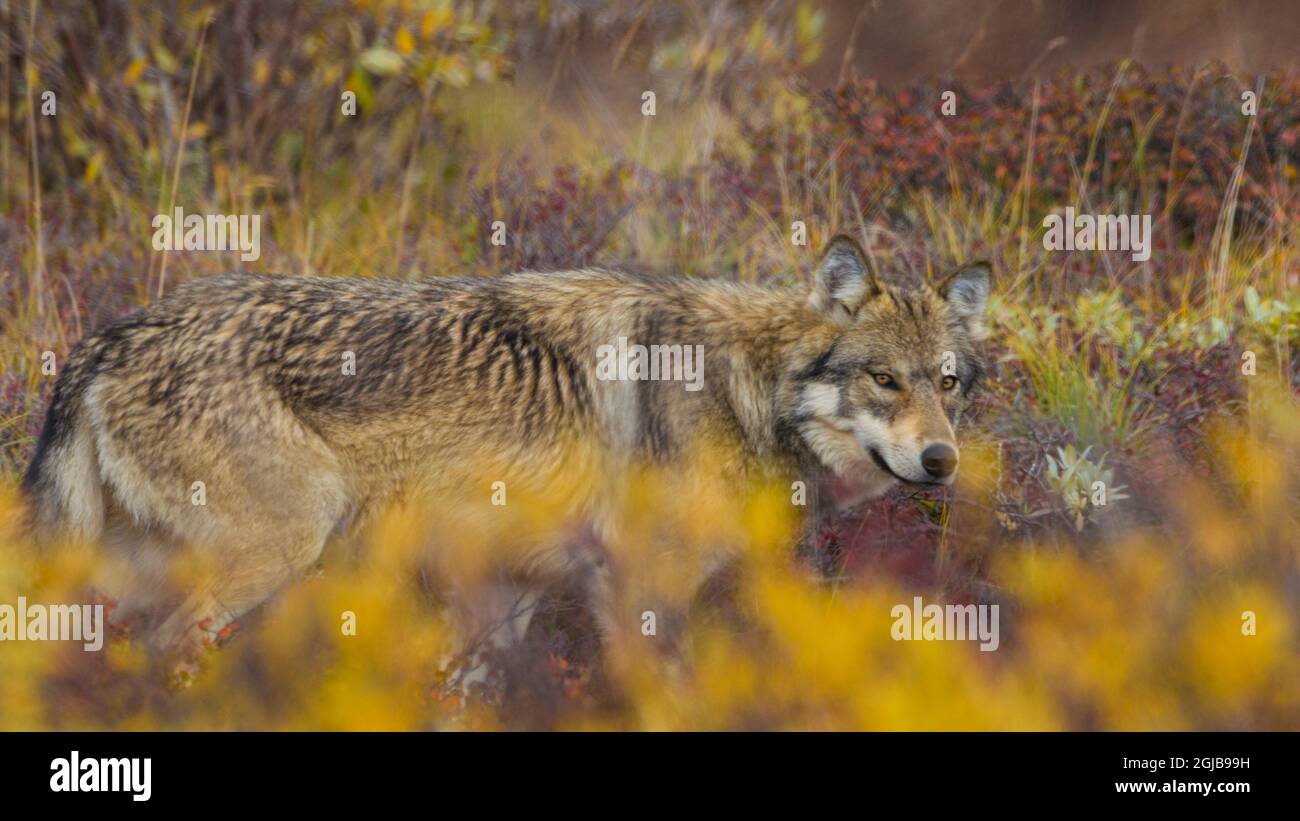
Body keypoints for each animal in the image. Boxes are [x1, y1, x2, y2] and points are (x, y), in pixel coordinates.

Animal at [22, 235, 990, 668]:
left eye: (948, 383)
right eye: (885, 381)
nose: (942, 462)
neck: (739, 385)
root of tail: (105, 338)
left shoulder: (509, 591)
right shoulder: (637, 592)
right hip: (277, 550)